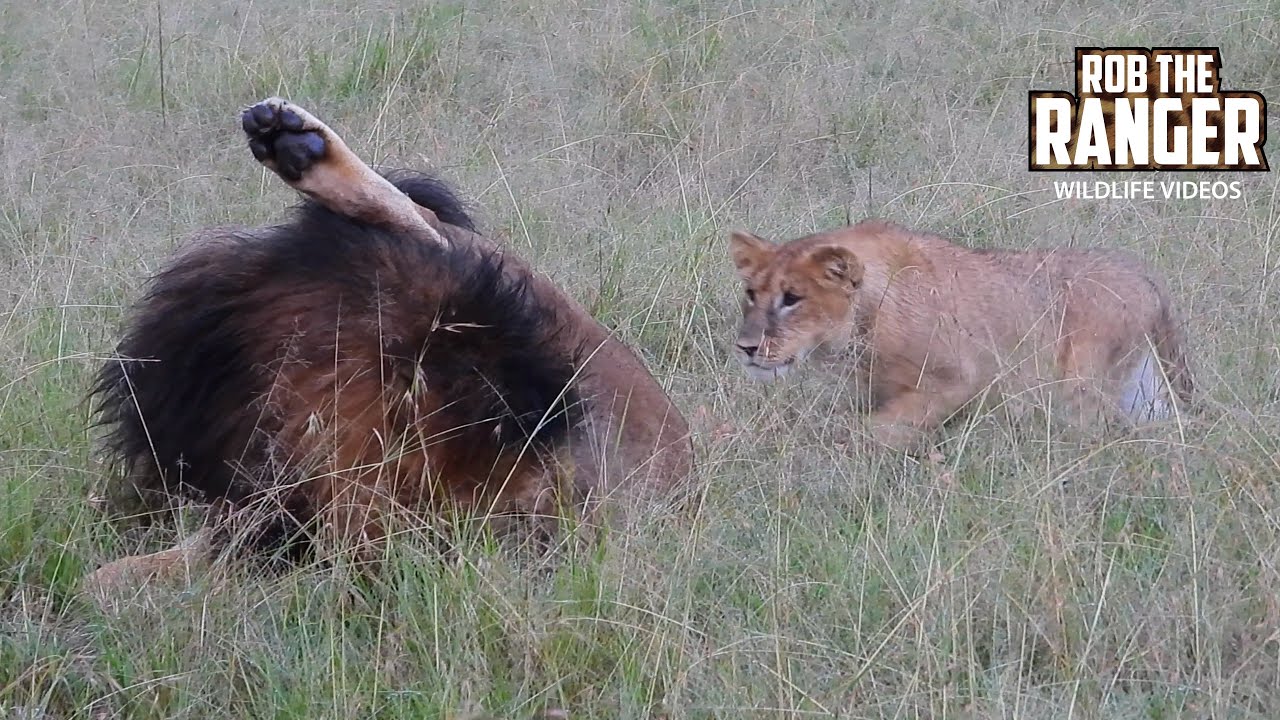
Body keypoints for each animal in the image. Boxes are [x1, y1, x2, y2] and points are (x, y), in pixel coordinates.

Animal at [728, 219, 1195, 451]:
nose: (746, 348)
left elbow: (878, 429)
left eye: (792, 298)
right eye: (751, 293)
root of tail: (1147, 275)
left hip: (1081, 388)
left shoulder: (960, 380)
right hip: (1141, 390)